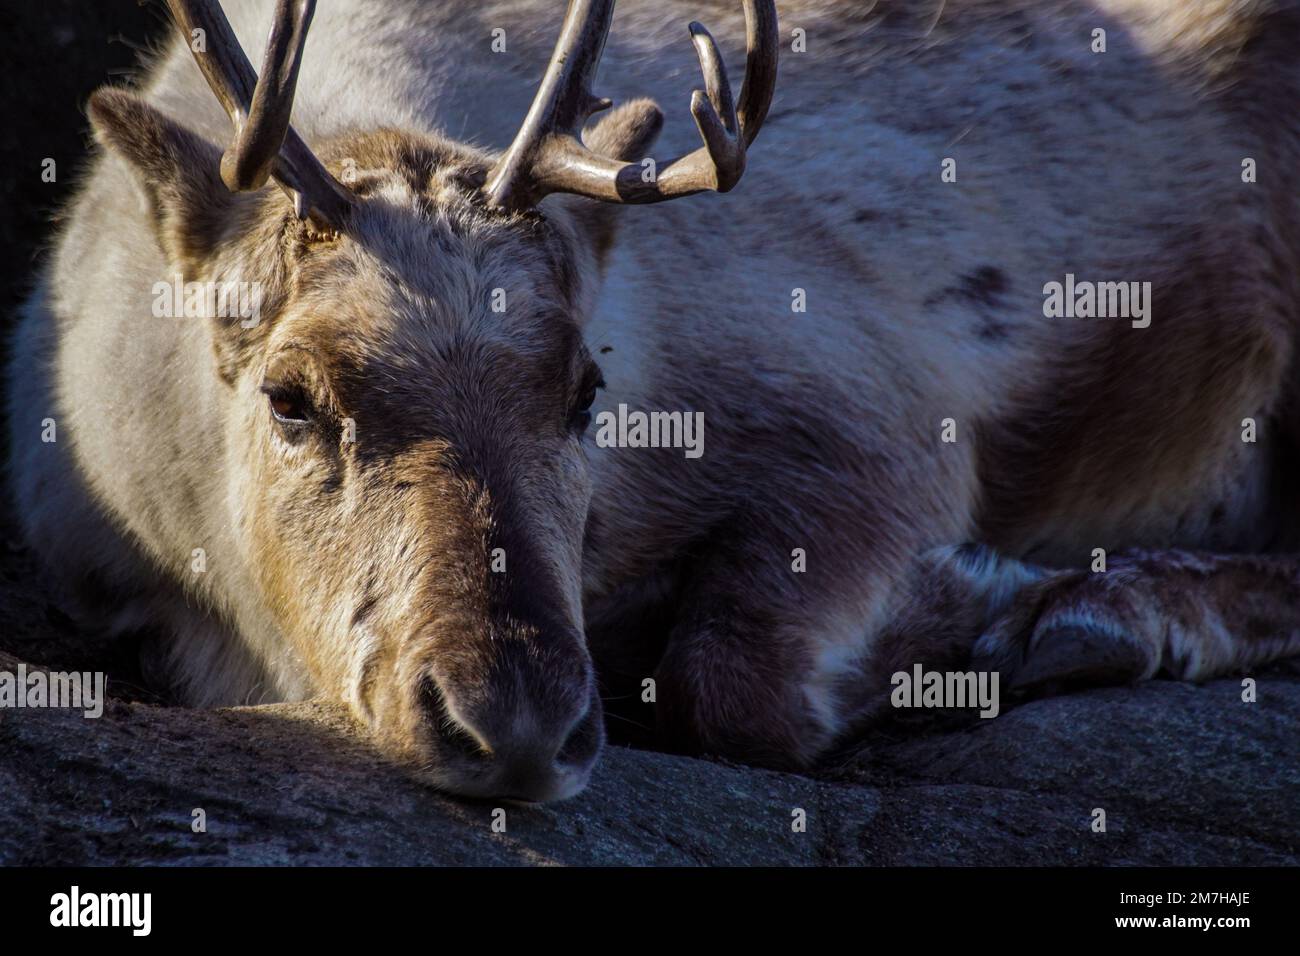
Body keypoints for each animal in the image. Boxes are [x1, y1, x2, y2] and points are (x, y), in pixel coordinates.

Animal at [8, 0, 1300, 802]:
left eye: (589, 387)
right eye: (289, 394)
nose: (516, 725)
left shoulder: (876, 409)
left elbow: (737, 682)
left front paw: (1003, 602)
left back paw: (1115, 608)